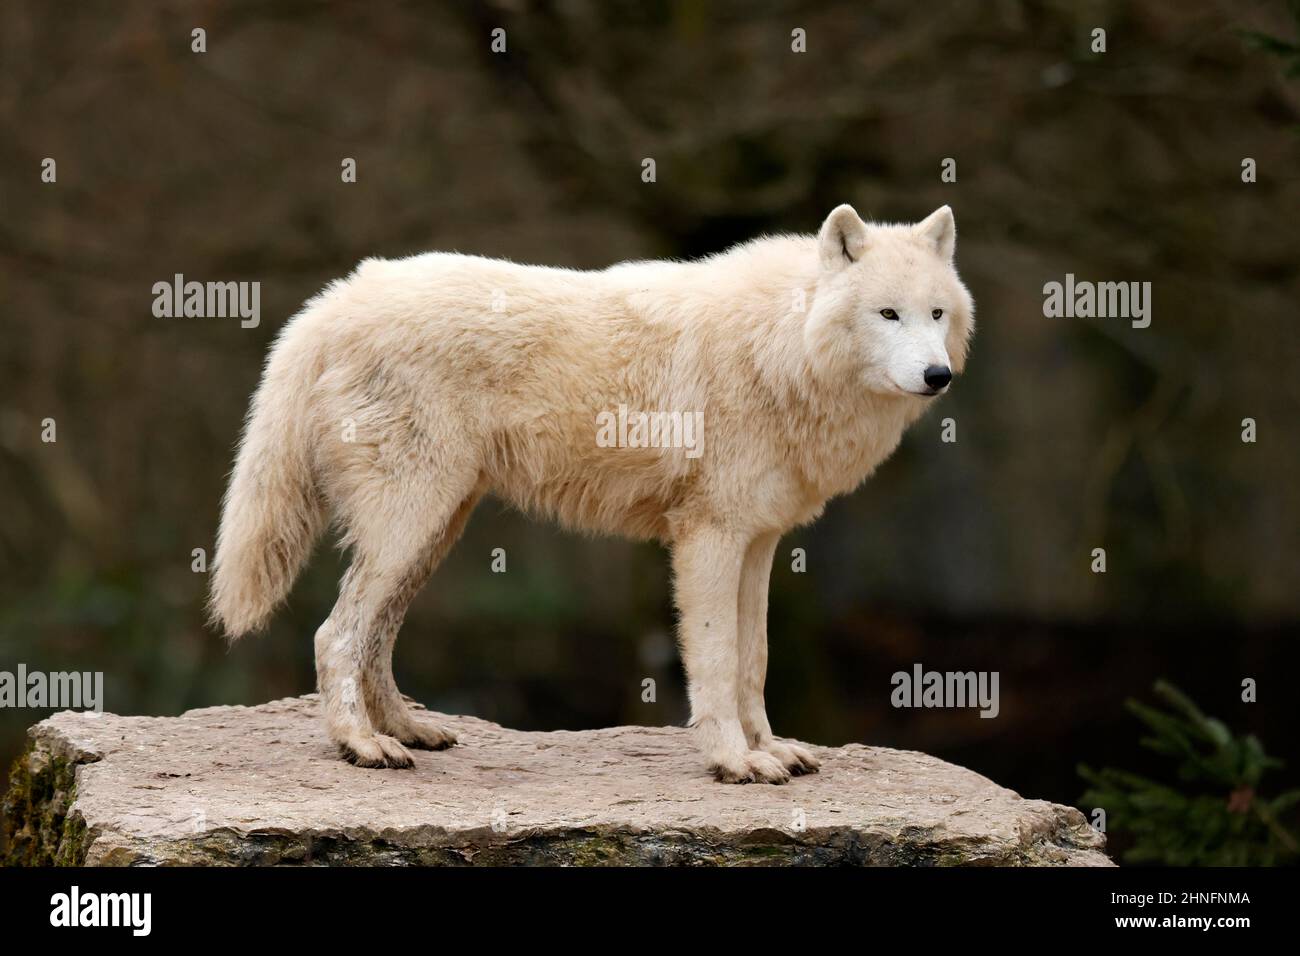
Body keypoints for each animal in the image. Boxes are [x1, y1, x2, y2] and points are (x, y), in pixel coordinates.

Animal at [210, 203, 974, 783]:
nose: (938, 376)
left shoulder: (759, 541)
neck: (780, 349)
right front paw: (733, 762)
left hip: (435, 527)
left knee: (374, 636)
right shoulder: (709, 538)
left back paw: (408, 730)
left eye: (936, 313)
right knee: (335, 634)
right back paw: (361, 746)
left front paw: (771, 750)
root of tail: (333, 300)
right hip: (411, 521)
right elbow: (716, 661)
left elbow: (753, 660)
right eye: (888, 314)